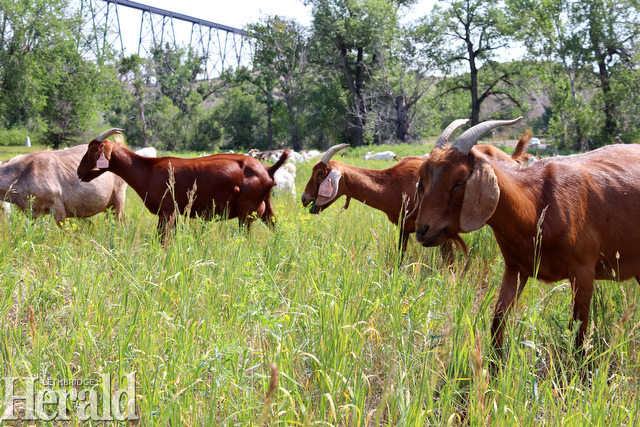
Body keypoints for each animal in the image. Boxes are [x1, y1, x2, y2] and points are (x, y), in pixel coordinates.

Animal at [77, 129, 290, 235]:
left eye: (92, 151)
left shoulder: (167, 211)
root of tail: (268, 170)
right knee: (276, 229)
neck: (147, 170)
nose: (79, 172)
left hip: (247, 212)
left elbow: (162, 239)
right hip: (265, 209)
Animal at [300, 122, 532, 261]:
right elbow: (400, 257)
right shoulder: (405, 228)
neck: (392, 184)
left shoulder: (440, 231)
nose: (304, 198)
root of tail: (512, 158)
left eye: (320, 174)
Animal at [413, 117, 640, 358]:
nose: (422, 229)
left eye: (459, 181)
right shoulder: (515, 269)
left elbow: (579, 332)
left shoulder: (583, 273)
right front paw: (495, 365)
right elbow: (497, 320)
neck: (535, 205)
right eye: (423, 178)